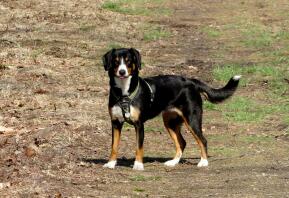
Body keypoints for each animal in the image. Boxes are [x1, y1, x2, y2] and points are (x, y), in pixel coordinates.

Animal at [100, 47, 240, 170]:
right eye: (116, 61)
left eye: (128, 60)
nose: (122, 72)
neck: (124, 94)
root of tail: (191, 81)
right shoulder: (115, 123)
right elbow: (114, 146)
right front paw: (111, 163)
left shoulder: (139, 124)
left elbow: (139, 147)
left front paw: (138, 165)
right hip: (170, 122)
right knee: (182, 142)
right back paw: (173, 162)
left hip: (192, 119)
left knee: (202, 140)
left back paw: (203, 162)